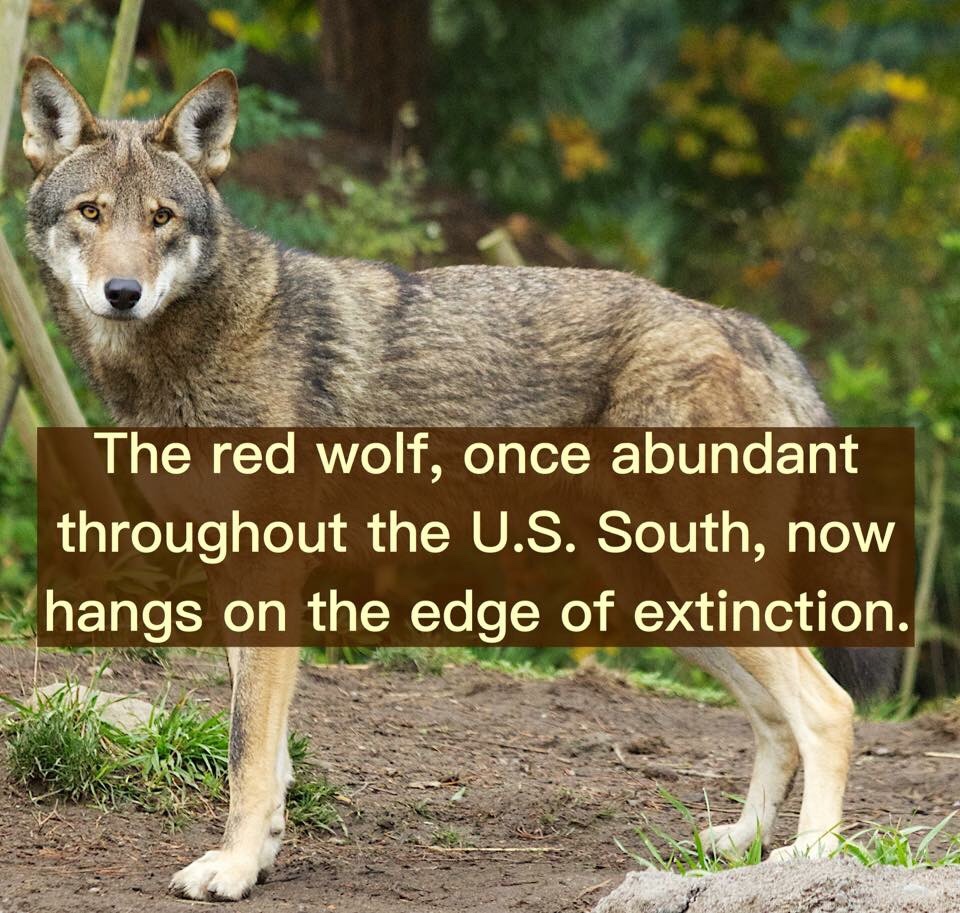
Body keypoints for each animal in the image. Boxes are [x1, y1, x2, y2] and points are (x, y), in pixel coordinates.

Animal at [20, 57, 894, 901]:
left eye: (161, 218)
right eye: (91, 213)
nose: (122, 293)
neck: (197, 346)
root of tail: (742, 325)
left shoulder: (267, 576)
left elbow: (246, 751)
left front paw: (231, 870)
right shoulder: (234, 578)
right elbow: (268, 754)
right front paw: (259, 855)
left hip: (701, 585)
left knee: (829, 707)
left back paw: (813, 855)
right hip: (670, 603)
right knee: (776, 717)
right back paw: (742, 846)